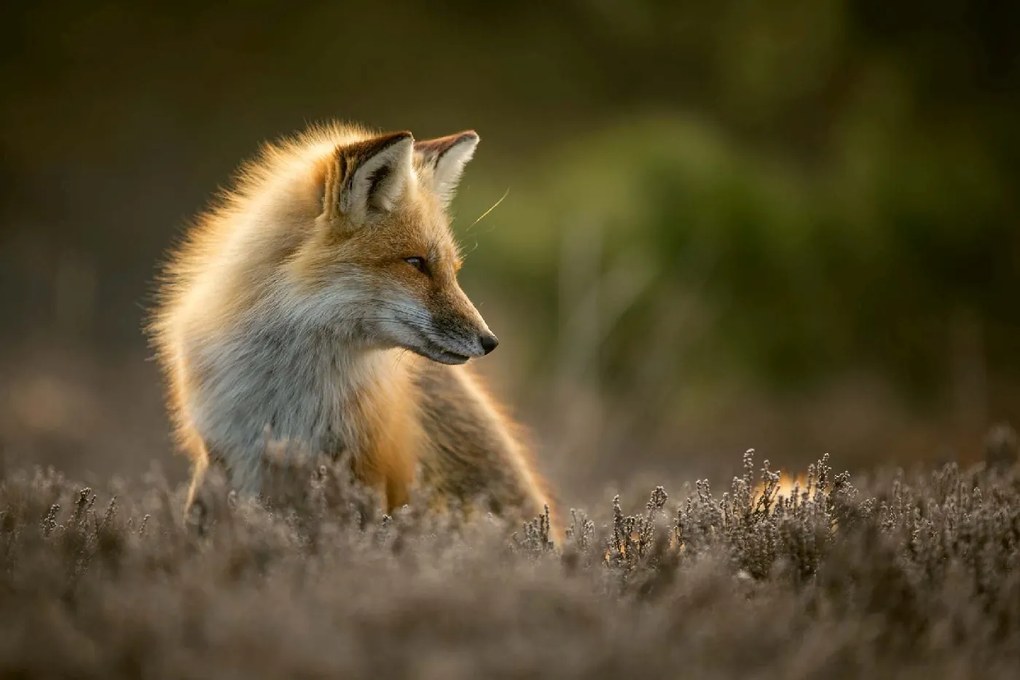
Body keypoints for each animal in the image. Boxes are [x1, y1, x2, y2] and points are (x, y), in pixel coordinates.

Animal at [148, 123, 554, 530]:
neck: (285, 395)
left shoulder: (365, 468)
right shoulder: (220, 452)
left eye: (453, 270)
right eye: (416, 263)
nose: (490, 341)